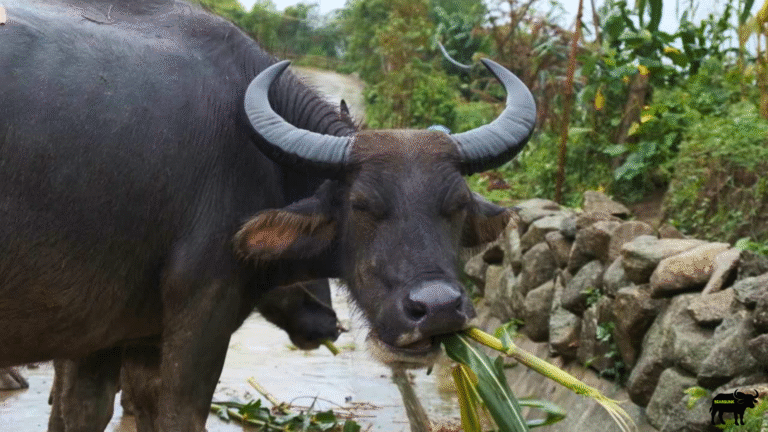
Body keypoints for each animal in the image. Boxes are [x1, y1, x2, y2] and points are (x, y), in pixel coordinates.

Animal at [0, 1, 536, 430]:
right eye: (362, 205)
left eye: (457, 206)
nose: (438, 309)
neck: (253, 150)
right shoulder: (201, 314)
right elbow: (173, 413)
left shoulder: (107, 336)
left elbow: (83, 412)